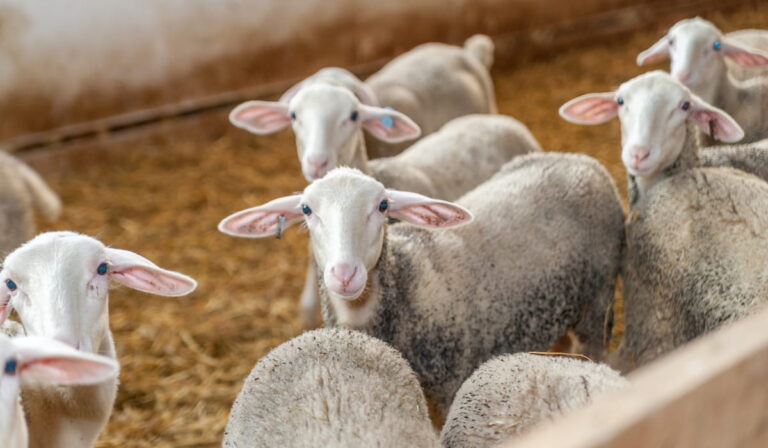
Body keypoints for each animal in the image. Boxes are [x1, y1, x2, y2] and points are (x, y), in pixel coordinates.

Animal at [219, 155, 625, 420]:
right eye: (306, 210)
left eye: (383, 206)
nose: (344, 273)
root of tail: (579, 160)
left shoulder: (451, 384)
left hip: (599, 295)